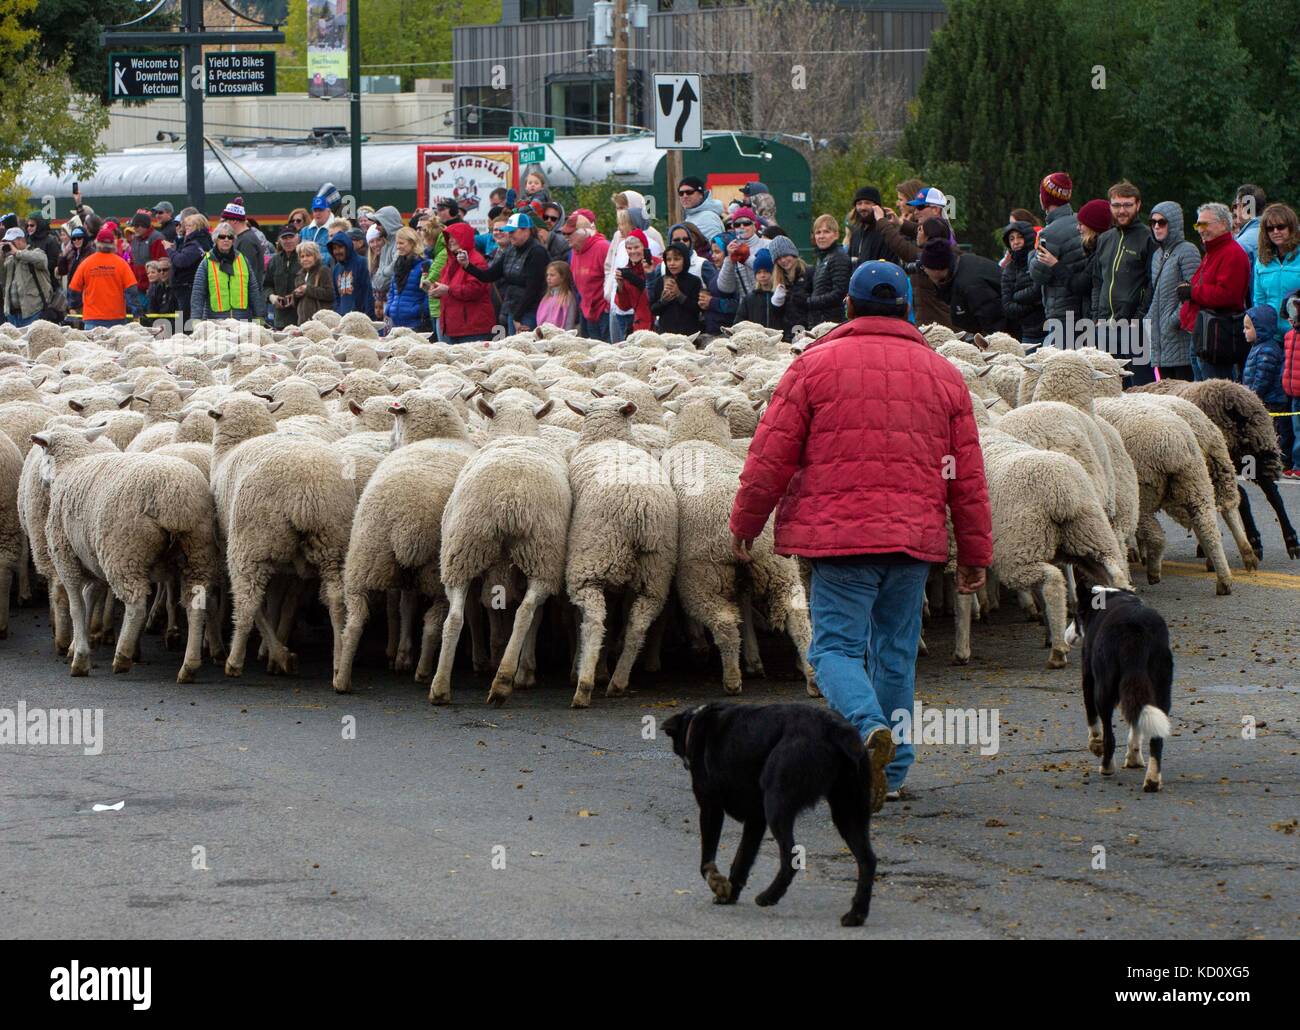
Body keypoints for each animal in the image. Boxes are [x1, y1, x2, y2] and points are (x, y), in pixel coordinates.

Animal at [33, 427, 219, 682]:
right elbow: (91, 595)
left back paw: (122, 655)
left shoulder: (66, 557)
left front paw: (80, 656)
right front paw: (79, 644)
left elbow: (77, 606)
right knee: (195, 603)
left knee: (136, 605)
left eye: (43, 453)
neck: (71, 465)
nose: (41, 481)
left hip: (124, 551)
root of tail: (175, 500)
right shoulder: (94, 558)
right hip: (197, 549)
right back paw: (188, 666)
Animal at [208, 395, 355, 678]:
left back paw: (235, 660)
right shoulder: (295, 569)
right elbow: (282, 605)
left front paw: (276, 652)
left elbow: (267, 605)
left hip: (251, 543)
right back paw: (339, 659)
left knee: (247, 600)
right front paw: (276, 649)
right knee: (336, 598)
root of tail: (307, 489)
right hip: (332, 541)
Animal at [430, 389, 572, 706]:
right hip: (542, 555)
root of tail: (509, 498)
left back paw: (441, 687)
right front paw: (524, 669)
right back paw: (506, 680)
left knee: (454, 617)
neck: (516, 432)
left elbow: (489, 607)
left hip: (462, 549)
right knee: (527, 611)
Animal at [562, 396, 679, 708]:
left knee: (593, 619)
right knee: (639, 621)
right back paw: (618, 681)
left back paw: (583, 683)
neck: (608, 436)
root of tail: (640, 506)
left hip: (591, 560)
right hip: (655, 570)